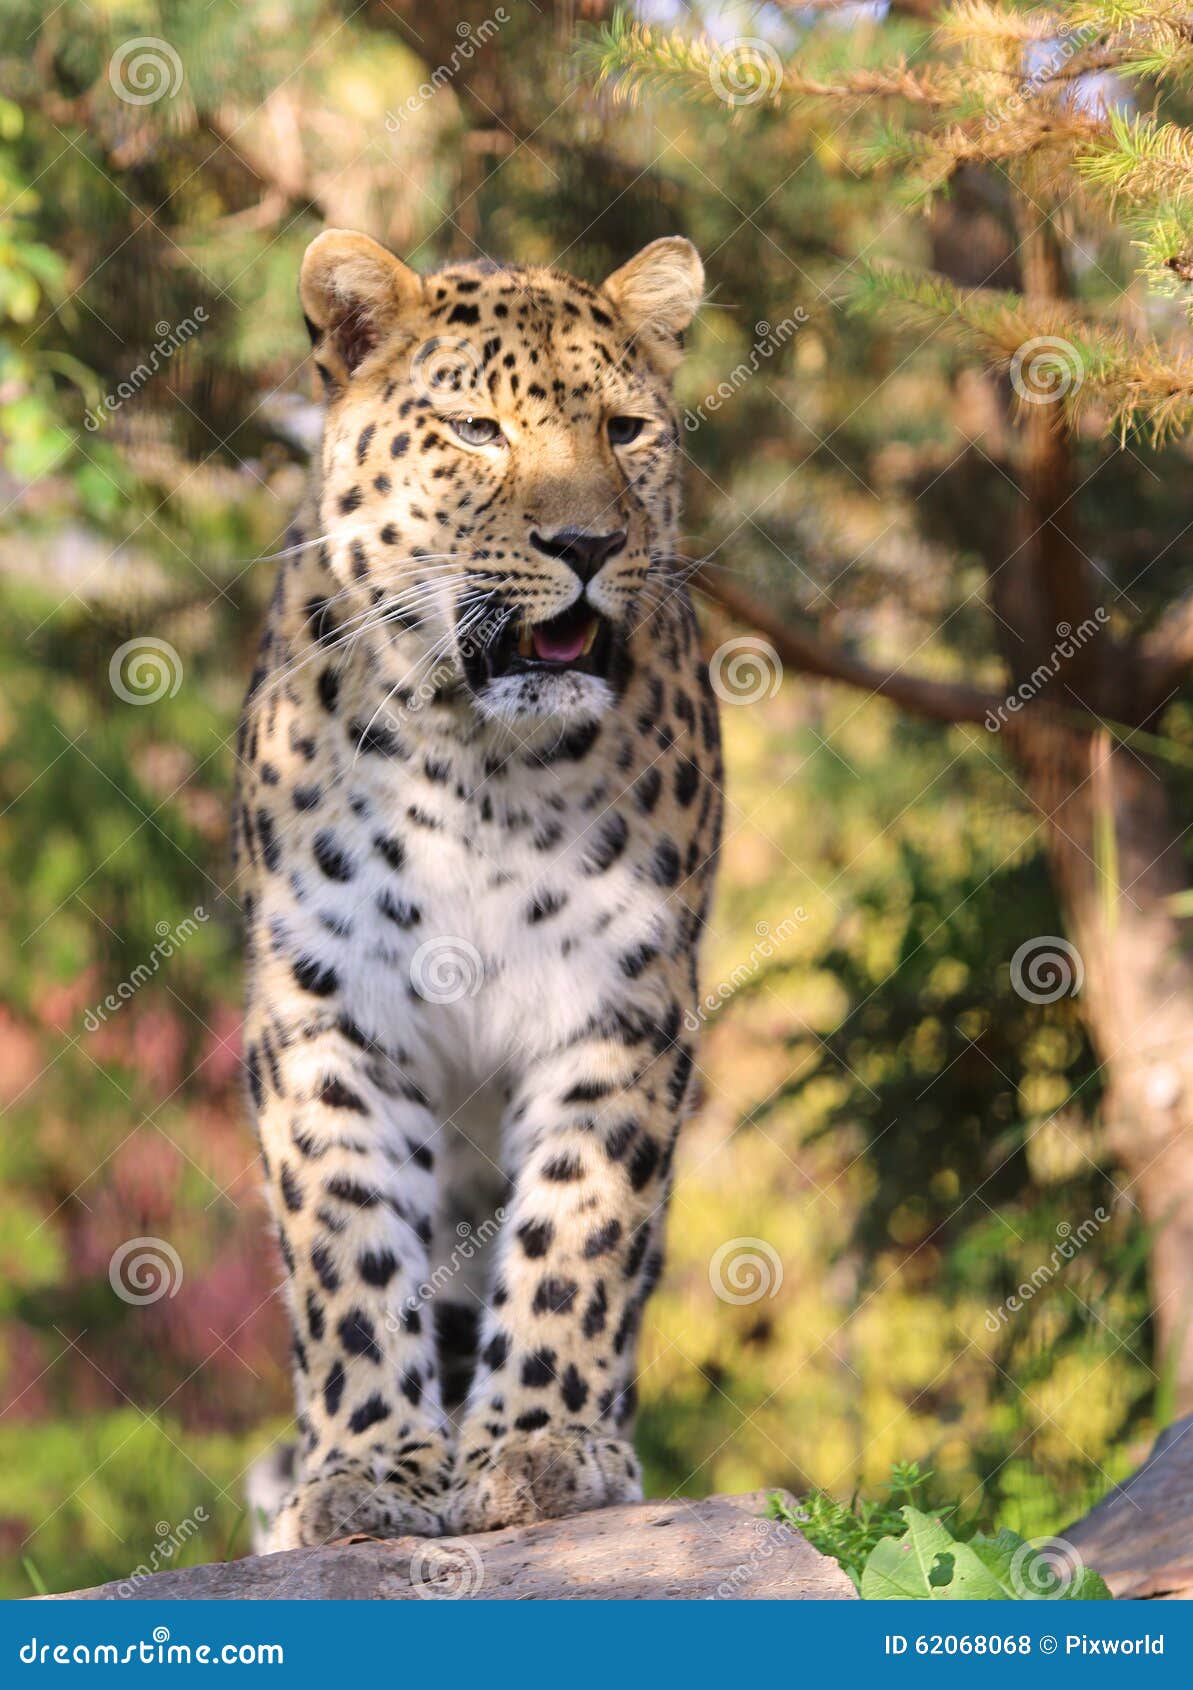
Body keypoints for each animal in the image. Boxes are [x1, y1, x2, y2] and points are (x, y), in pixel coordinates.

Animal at [235, 227, 723, 1552]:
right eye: (476, 431)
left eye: (624, 429)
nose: (586, 547)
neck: (480, 769)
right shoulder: (325, 1005)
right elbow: (347, 1244)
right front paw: (365, 1469)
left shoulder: (622, 1001)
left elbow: (577, 1230)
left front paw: (540, 1446)